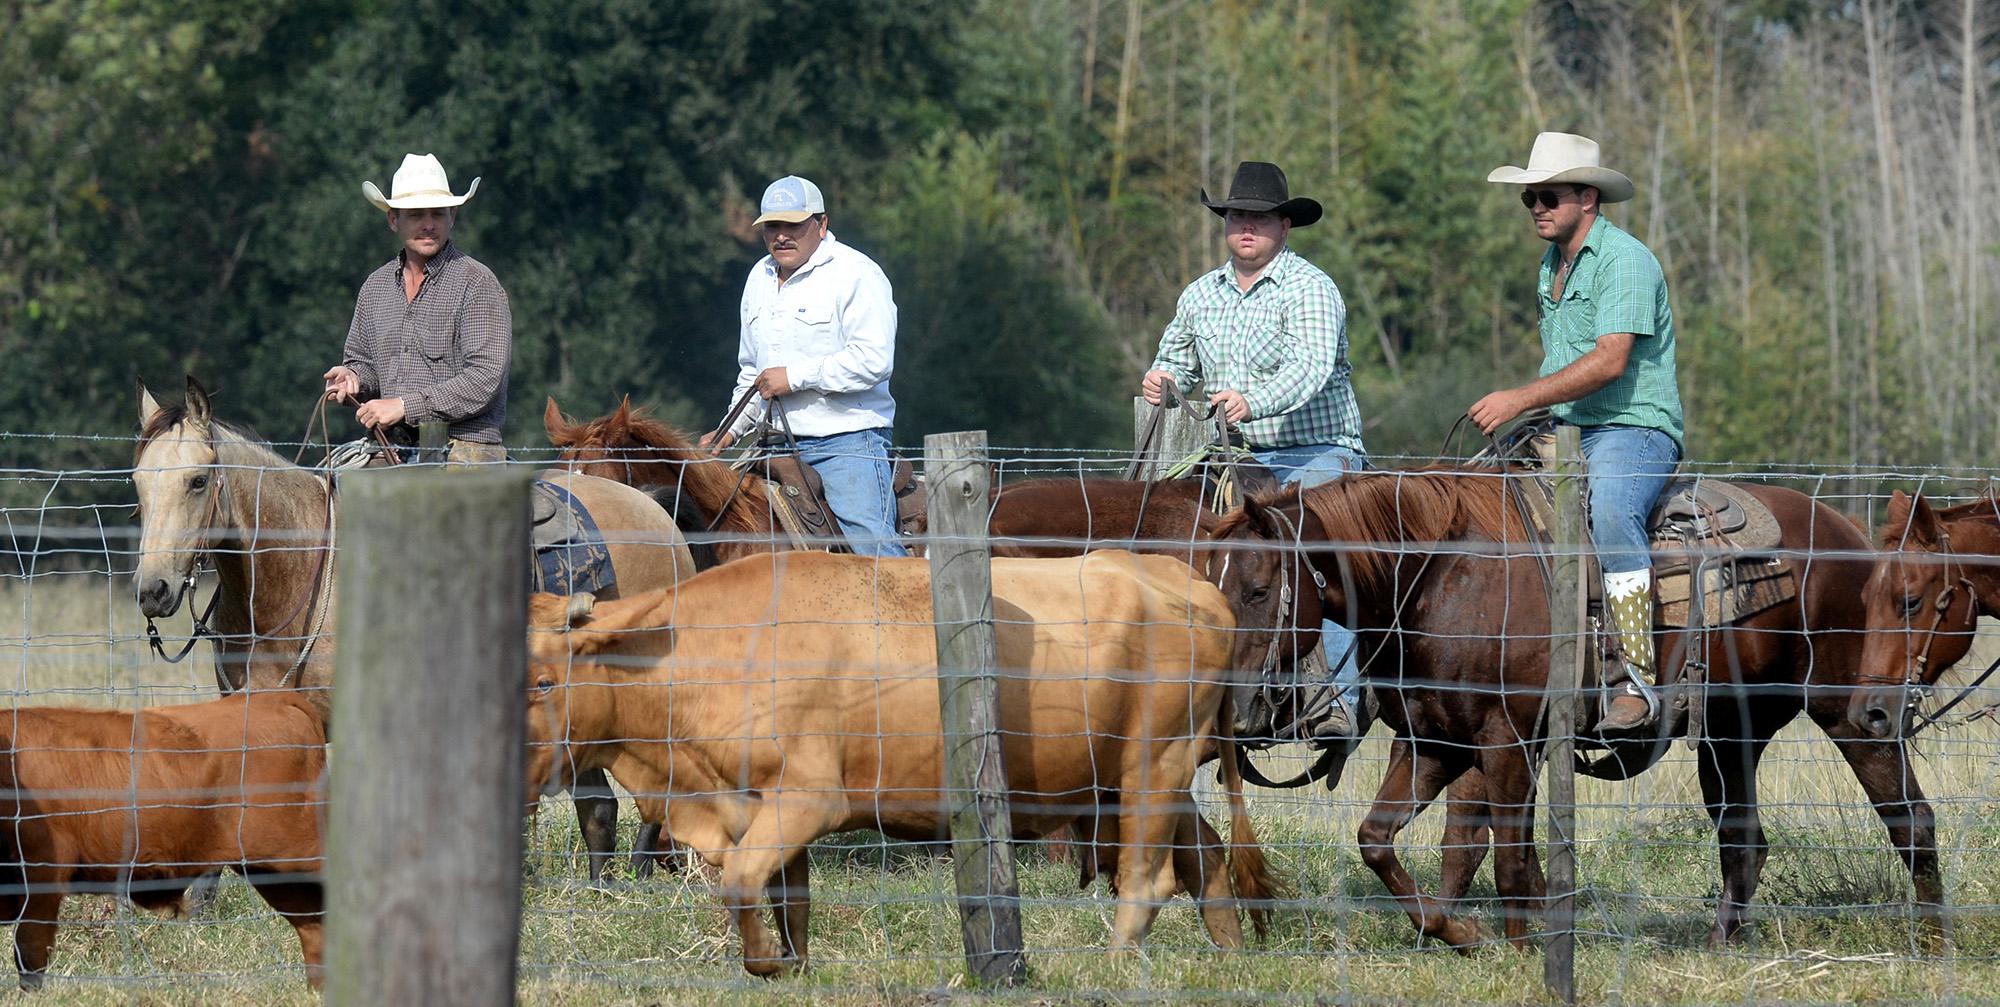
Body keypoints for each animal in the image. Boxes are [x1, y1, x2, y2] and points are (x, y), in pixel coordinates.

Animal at [523, 549, 1272, 976]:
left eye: (543, 683)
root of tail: (1186, 580)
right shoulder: (756, 804)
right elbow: (786, 896)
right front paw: (793, 965)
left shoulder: (809, 797)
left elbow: (739, 881)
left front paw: (764, 963)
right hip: (1133, 776)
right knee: (1208, 859)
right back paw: (1234, 959)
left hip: (1155, 762)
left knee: (1150, 876)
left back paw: (1117, 967)